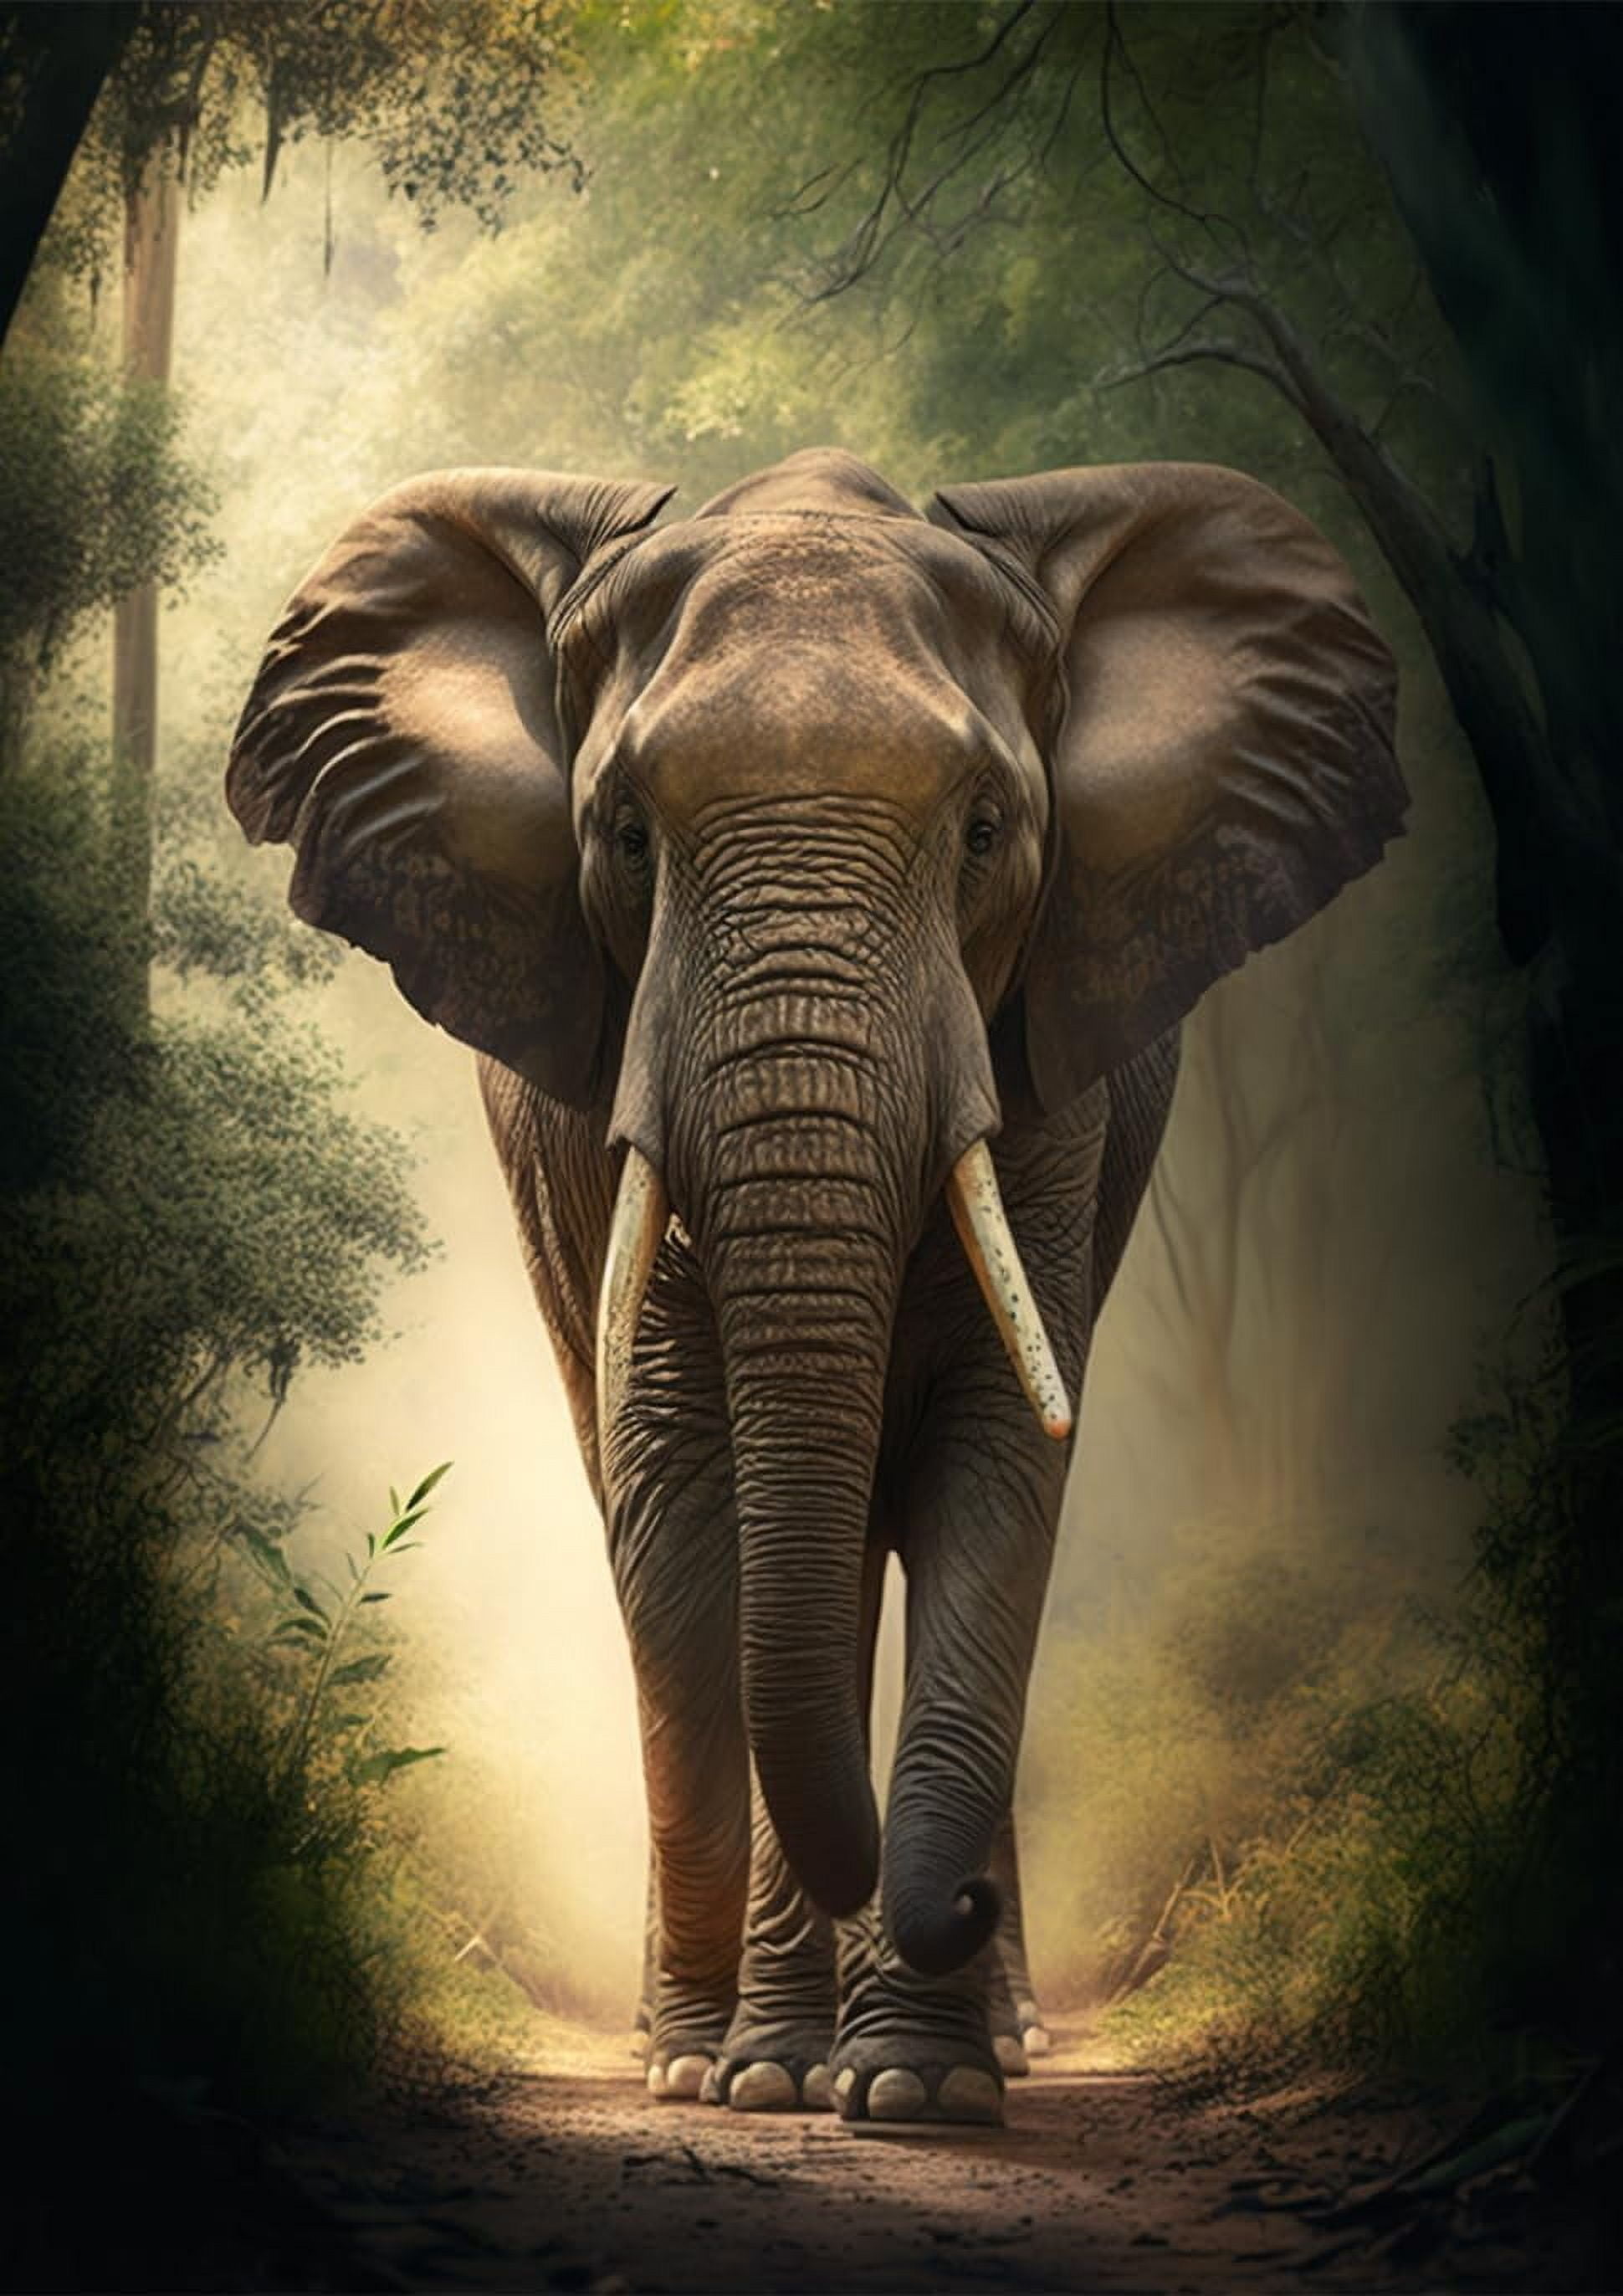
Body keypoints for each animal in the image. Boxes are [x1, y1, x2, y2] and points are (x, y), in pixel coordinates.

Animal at [227, 447, 1403, 2125]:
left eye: (987, 830)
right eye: (624, 834)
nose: (952, 1899)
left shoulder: (1048, 1061)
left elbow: (996, 1454)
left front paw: (925, 2090)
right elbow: (687, 1479)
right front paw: (753, 2072)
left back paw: (966, 2032)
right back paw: (703, 2042)